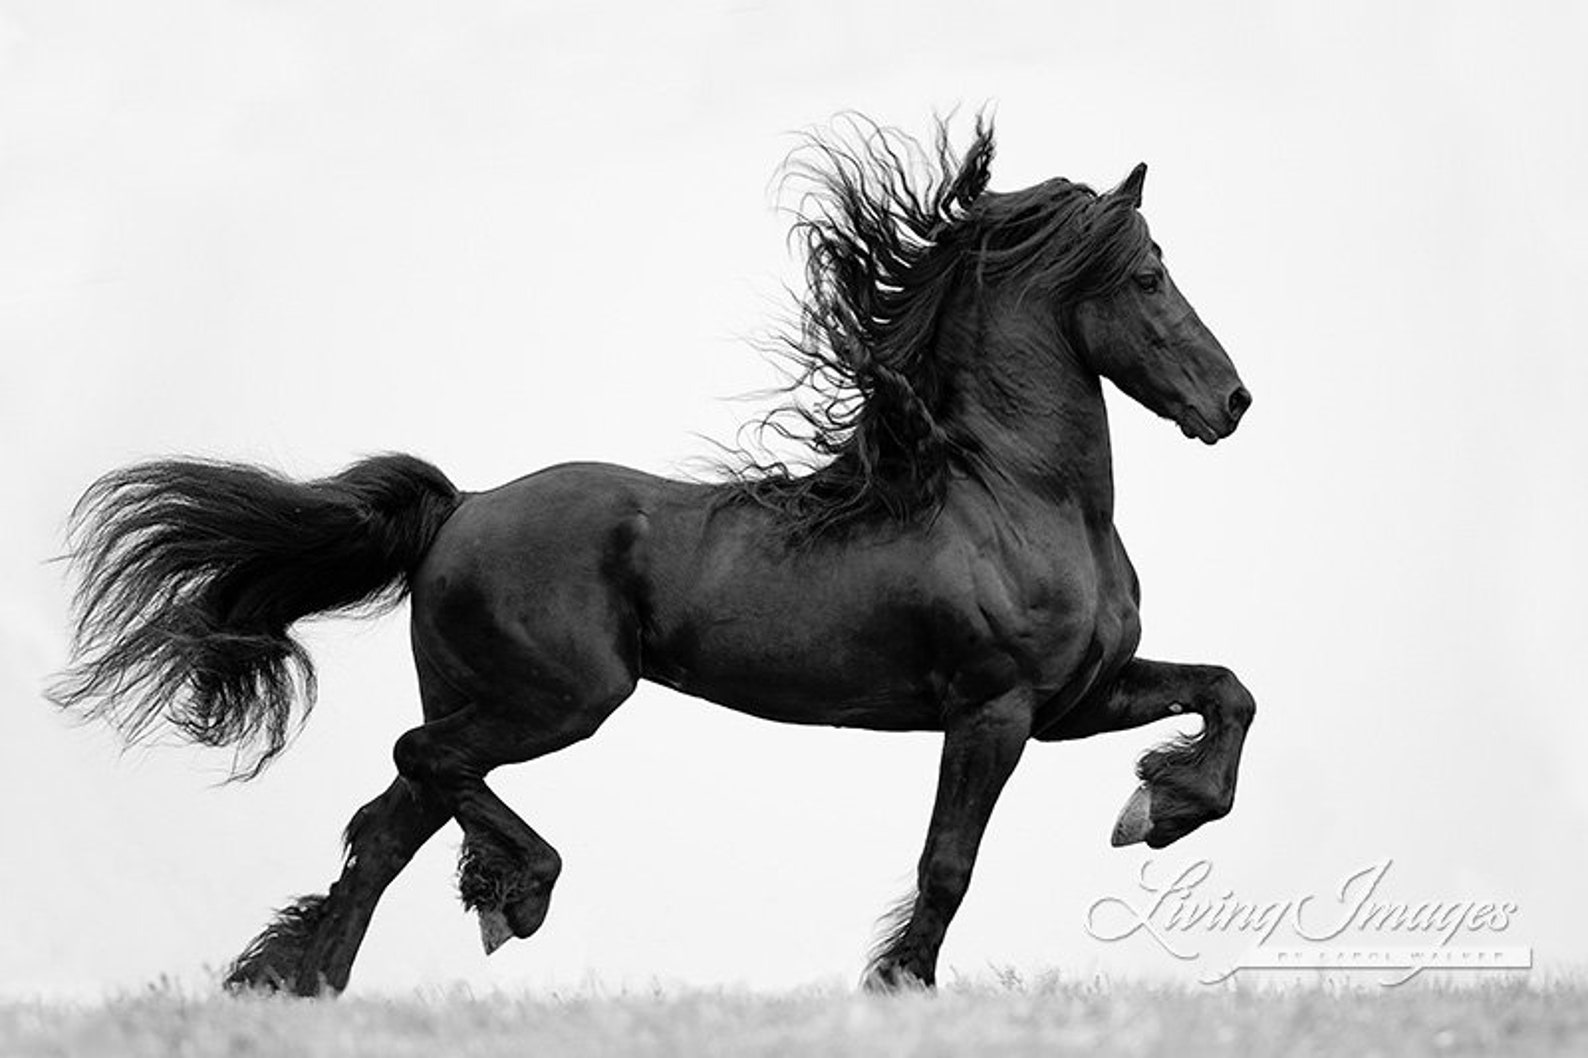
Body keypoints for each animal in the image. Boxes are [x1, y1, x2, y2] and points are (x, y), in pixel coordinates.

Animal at [50, 114, 1256, 995]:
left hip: (490, 696)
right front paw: (899, 985)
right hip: (561, 697)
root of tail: (462, 507)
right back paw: (515, 895)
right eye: (1149, 275)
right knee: (418, 765)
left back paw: (308, 985)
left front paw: (1159, 807)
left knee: (392, 821)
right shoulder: (994, 708)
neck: (1013, 494)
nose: (1233, 402)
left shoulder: (1073, 700)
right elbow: (947, 864)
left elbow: (1228, 691)